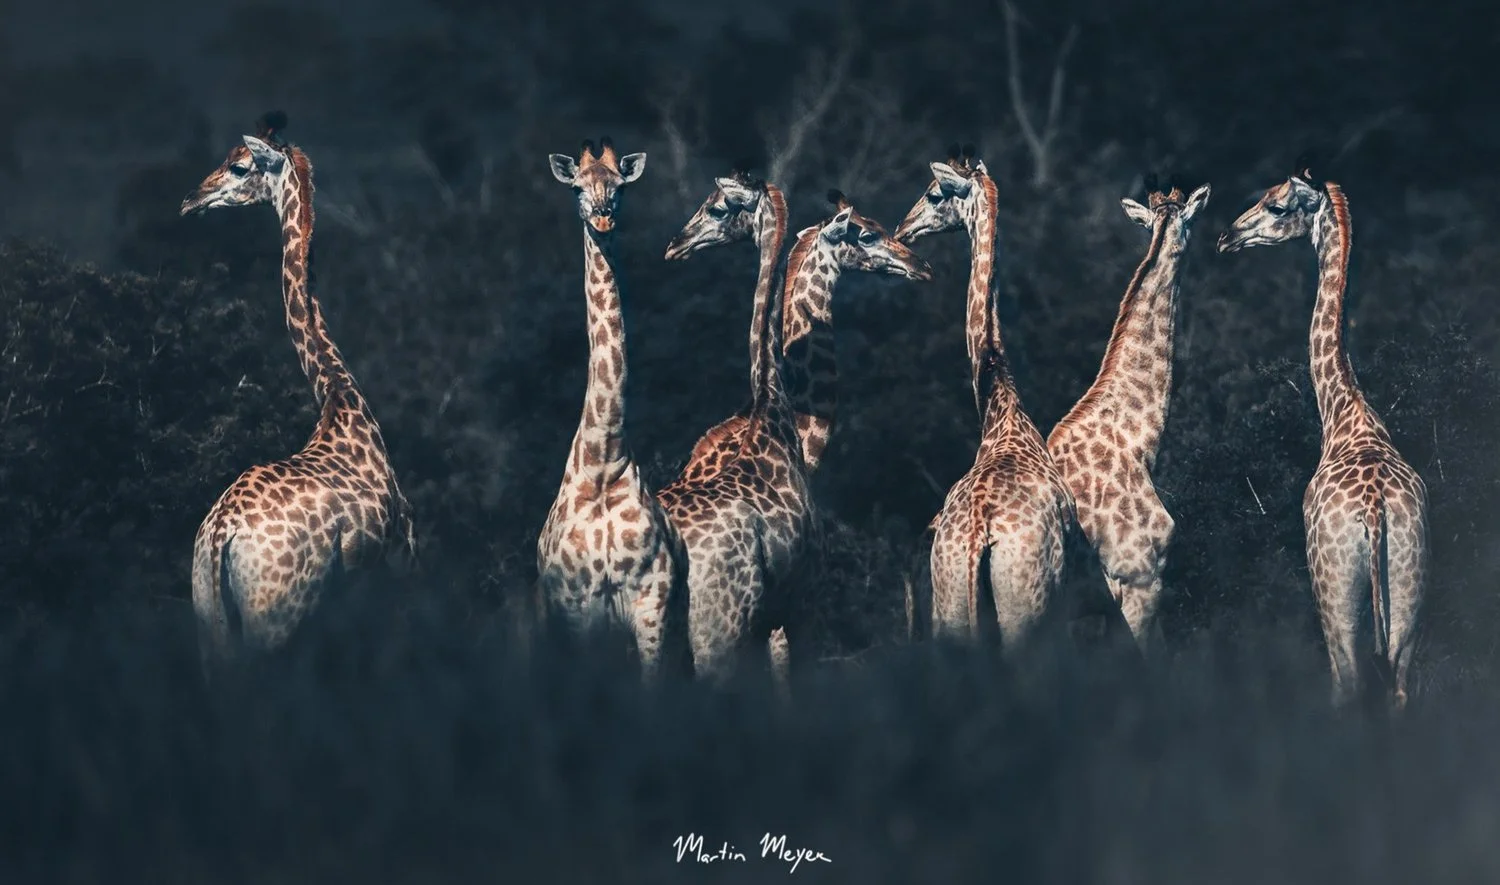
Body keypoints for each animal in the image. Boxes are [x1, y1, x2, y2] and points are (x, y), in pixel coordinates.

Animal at [179, 111, 417, 677]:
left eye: (239, 166)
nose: (191, 200)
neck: (340, 399)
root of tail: (221, 536)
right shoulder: (401, 562)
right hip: (278, 616)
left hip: (209, 618)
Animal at [536, 138, 691, 681]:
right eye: (579, 187)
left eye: (620, 187)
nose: (602, 219)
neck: (604, 461)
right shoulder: (578, 603)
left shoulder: (651, 603)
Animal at [894, 145, 1076, 651]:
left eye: (935, 193)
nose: (903, 228)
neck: (999, 407)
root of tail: (979, 536)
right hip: (1027, 609)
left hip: (953, 603)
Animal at [1218, 158, 1428, 711]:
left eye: (1276, 205)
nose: (1226, 237)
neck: (1344, 413)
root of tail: (1375, 511)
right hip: (1410, 590)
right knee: (1401, 689)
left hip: (1335, 600)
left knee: (1346, 685)